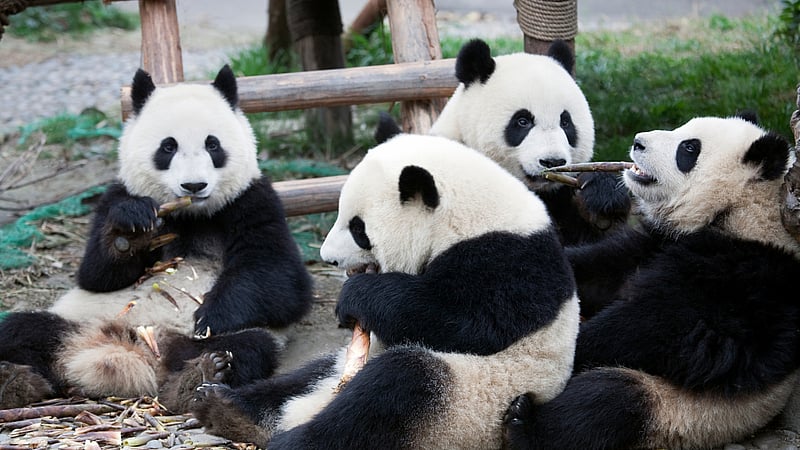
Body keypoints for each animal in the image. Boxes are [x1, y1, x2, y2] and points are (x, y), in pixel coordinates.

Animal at [0, 65, 313, 410]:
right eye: (168, 147)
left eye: (213, 145)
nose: (194, 186)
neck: (191, 214)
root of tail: (127, 351)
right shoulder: (115, 196)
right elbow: (95, 275)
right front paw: (129, 233)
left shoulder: (252, 201)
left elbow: (280, 280)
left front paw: (210, 317)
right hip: (77, 318)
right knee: (20, 329)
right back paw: (14, 381)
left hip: (212, 340)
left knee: (247, 347)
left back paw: (199, 376)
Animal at [188, 133, 580, 449]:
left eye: (358, 228)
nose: (328, 258)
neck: (470, 215)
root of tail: (309, 409)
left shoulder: (509, 261)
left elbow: (467, 322)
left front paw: (356, 296)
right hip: (342, 367)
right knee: (301, 378)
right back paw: (223, 403)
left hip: (472, 405)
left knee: (394, 388)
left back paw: (289, 438)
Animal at [502, 115, 800, 449]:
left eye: (689, 149)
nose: (638, 142)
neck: (740, 210)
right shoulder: (656, 243)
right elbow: (601, 270)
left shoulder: (746, 278)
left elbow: (662, 330)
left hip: (680, 414)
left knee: (608, 400)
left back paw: (523, 425)